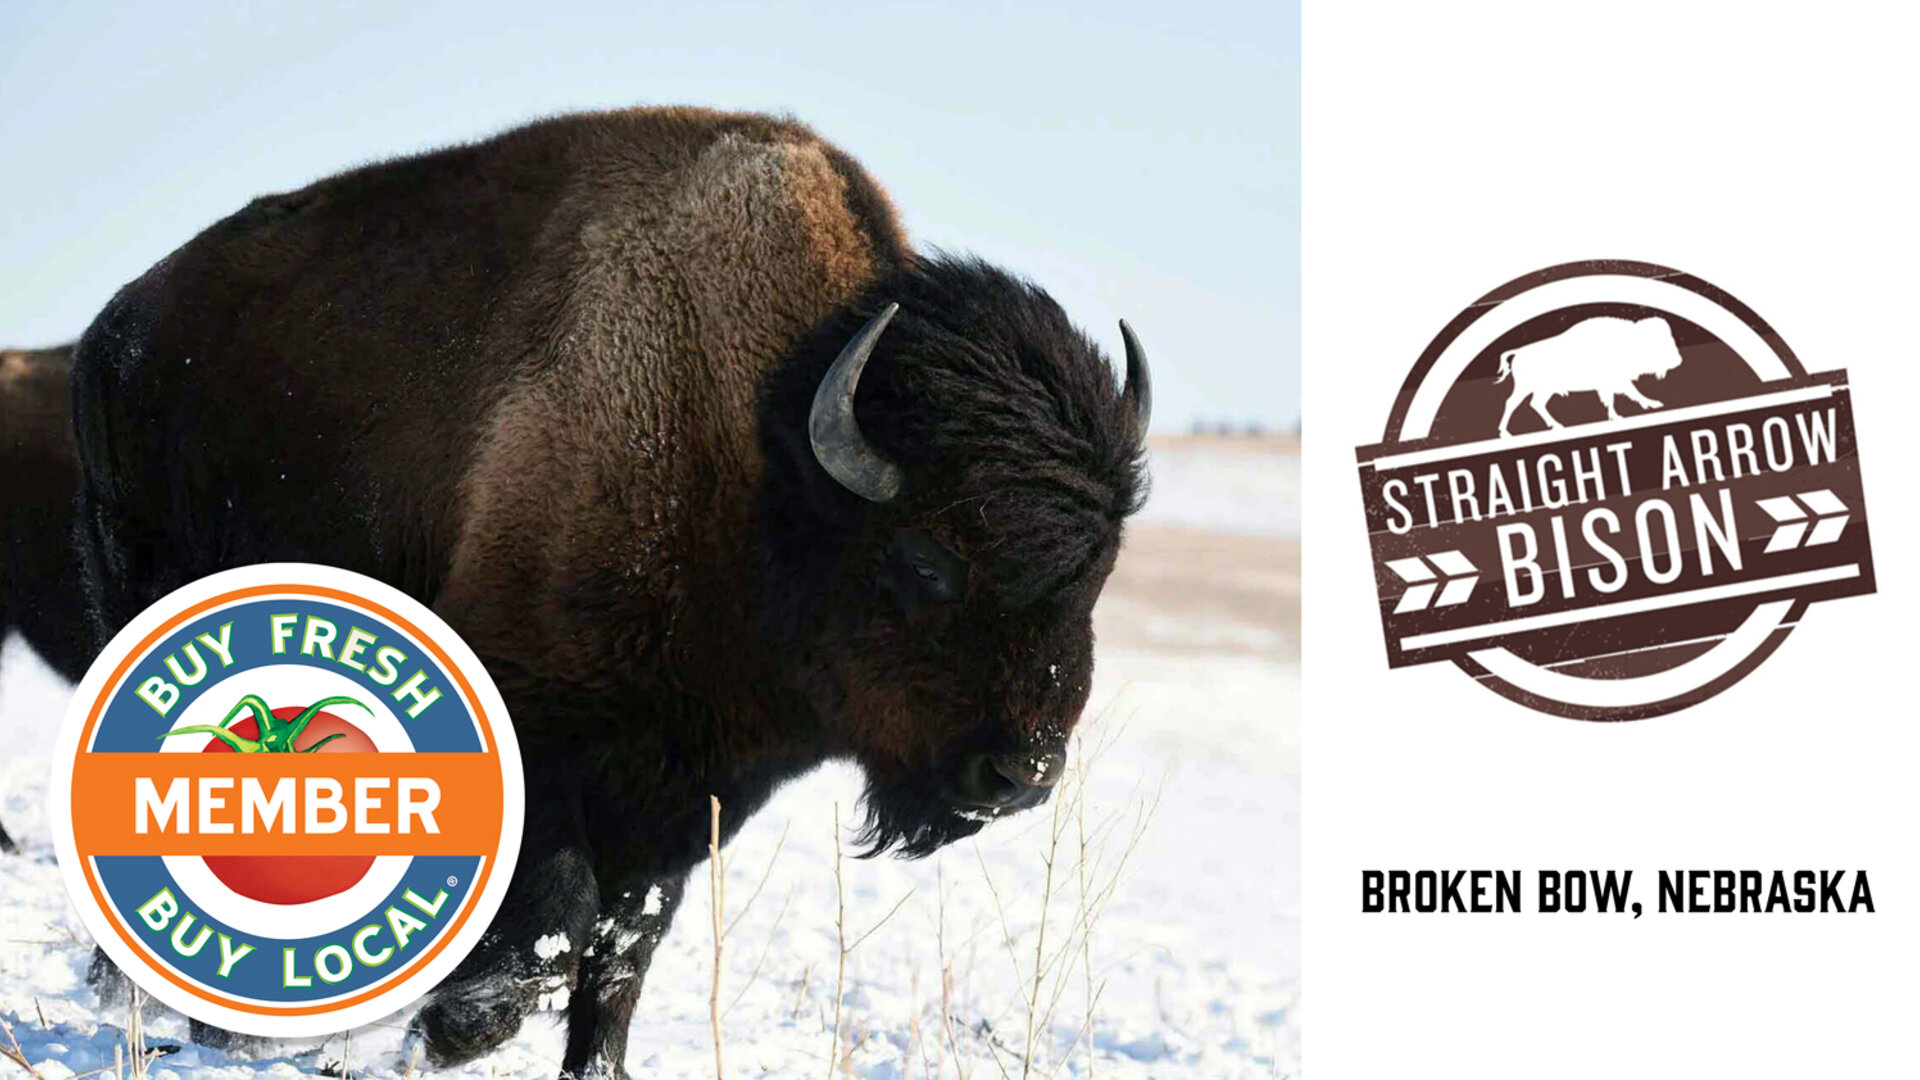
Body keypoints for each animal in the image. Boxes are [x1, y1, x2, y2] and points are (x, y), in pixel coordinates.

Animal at [50, 106, 1149, 1075]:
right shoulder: (541, 736)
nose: (1022, 772)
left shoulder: (684, 798)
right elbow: (542, 944)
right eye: (925, 560)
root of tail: (114, 332)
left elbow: (621, 958)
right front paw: (432, 1037)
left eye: (1100, 566)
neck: (764, 457)